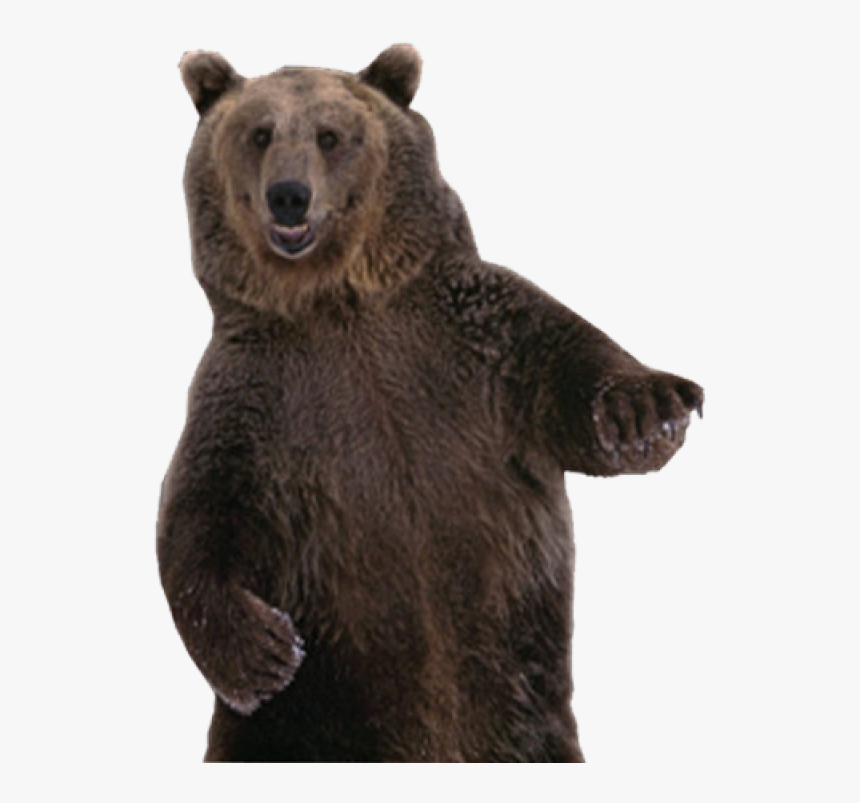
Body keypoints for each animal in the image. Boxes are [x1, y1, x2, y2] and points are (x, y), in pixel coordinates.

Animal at [158, 44, 704, 763]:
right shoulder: (255, 399)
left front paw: (648, 409)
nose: (289, 196)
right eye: (259, 133)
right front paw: (265, 653)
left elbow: (568, 364)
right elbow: (199, 514)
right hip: (294, 732)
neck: (338, 302)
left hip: (526, 721)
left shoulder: (474, 342)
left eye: (331, 135)